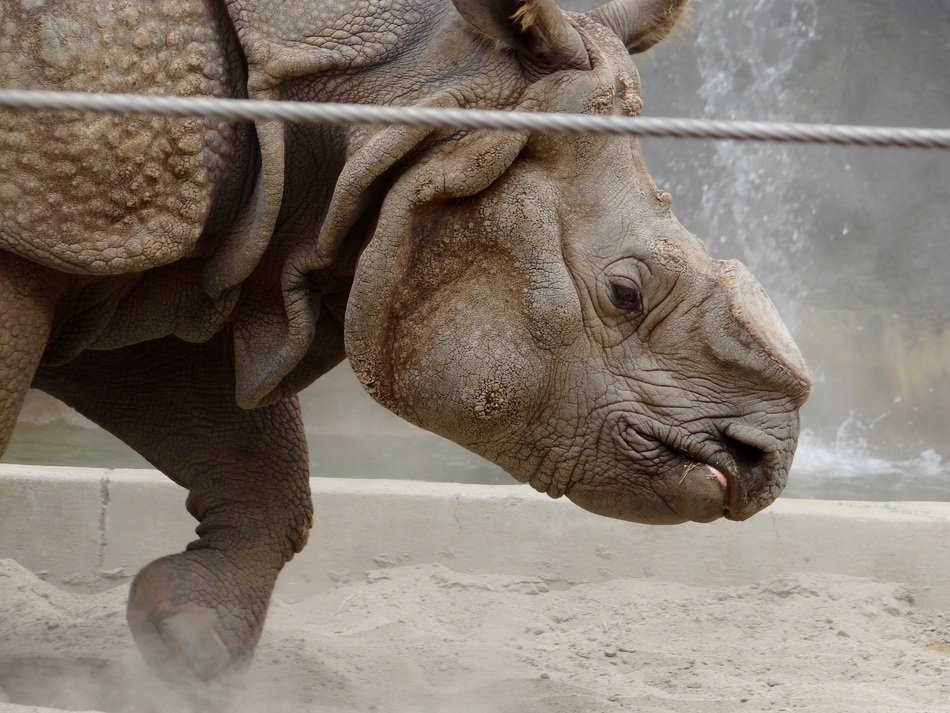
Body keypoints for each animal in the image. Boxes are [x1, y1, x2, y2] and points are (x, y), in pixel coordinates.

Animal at [0, 0, 810, 683]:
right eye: (626, 294)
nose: (762, 462)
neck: (391, 104)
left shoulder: (134, 250)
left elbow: (260, 466)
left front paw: (187, 640)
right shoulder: (48, 239)